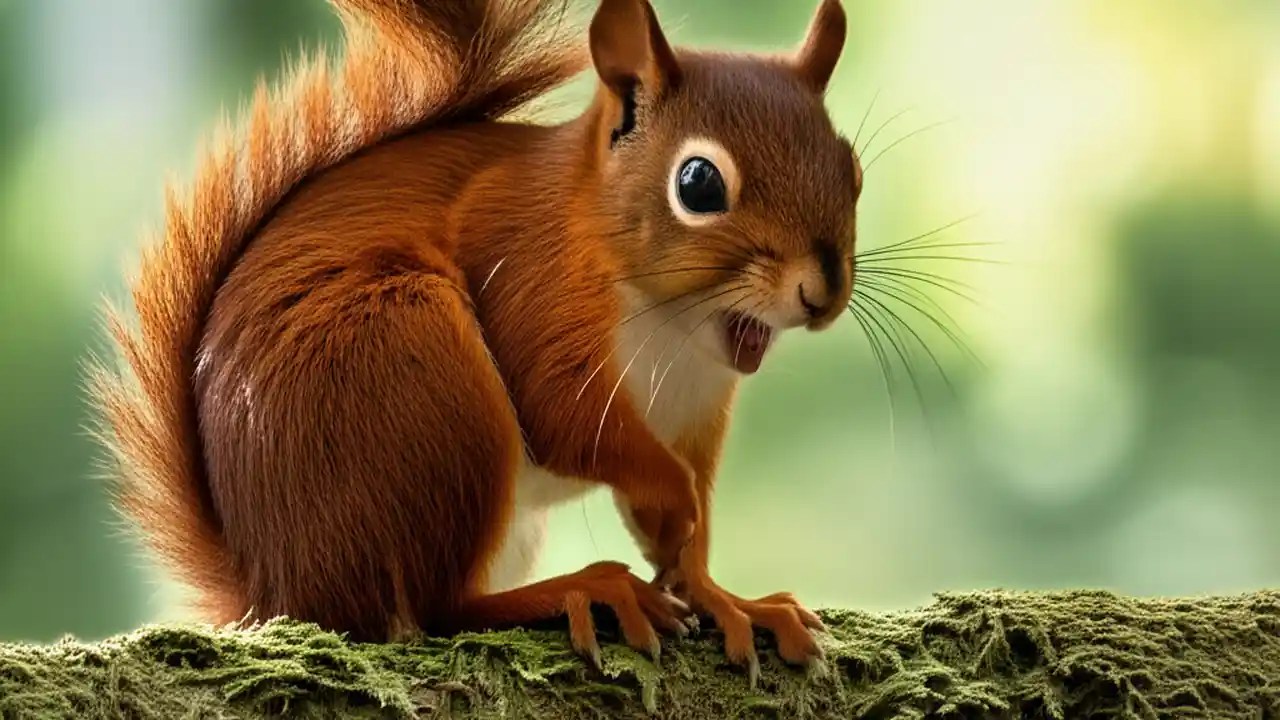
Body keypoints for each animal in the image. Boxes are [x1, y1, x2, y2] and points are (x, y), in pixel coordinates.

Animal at [89, 0, 860, 679]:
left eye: (850, 167)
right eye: (698, 183)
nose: (821, 292)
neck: (677, 327)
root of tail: (279, 586)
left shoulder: (695, 415)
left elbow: (688, 527)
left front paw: (725, 598)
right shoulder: (529, 282)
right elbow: (568, 421)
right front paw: (672, 514)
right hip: (422, 371)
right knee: (440, 607)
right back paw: (583, 590)